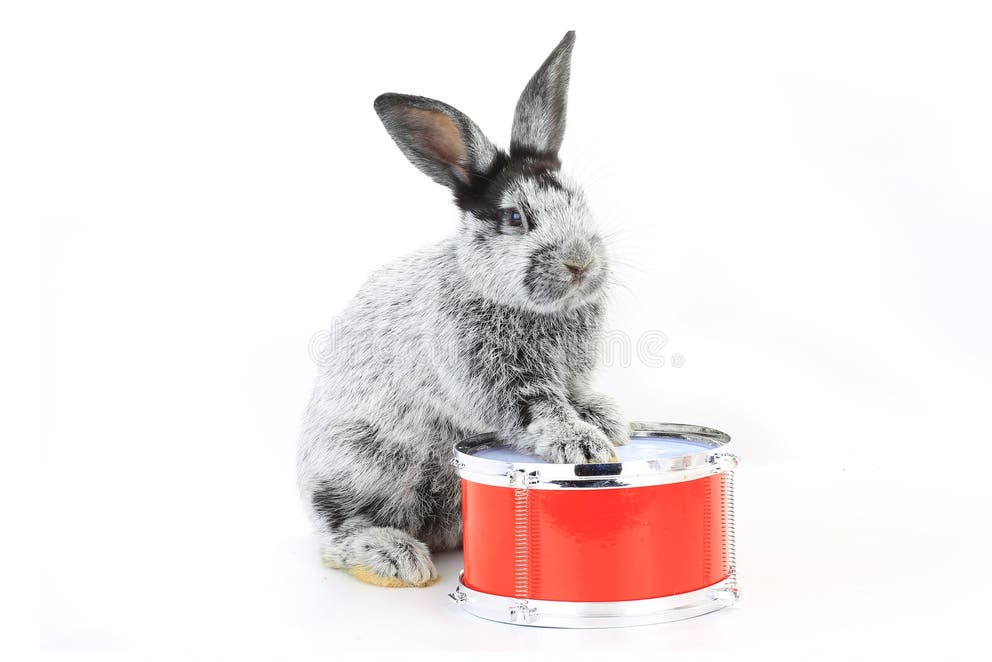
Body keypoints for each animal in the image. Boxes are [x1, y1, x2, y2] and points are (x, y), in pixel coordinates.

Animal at [297, 31, 629, 588]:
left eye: (578, 201)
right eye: (515, 218)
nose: (580, 263)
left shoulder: (571, 376)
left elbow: (579, 397)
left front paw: (612, 423)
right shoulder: (495, 378)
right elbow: (540, 407)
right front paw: (584, 445)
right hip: (368, 464)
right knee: (337, 531)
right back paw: (397, 560)